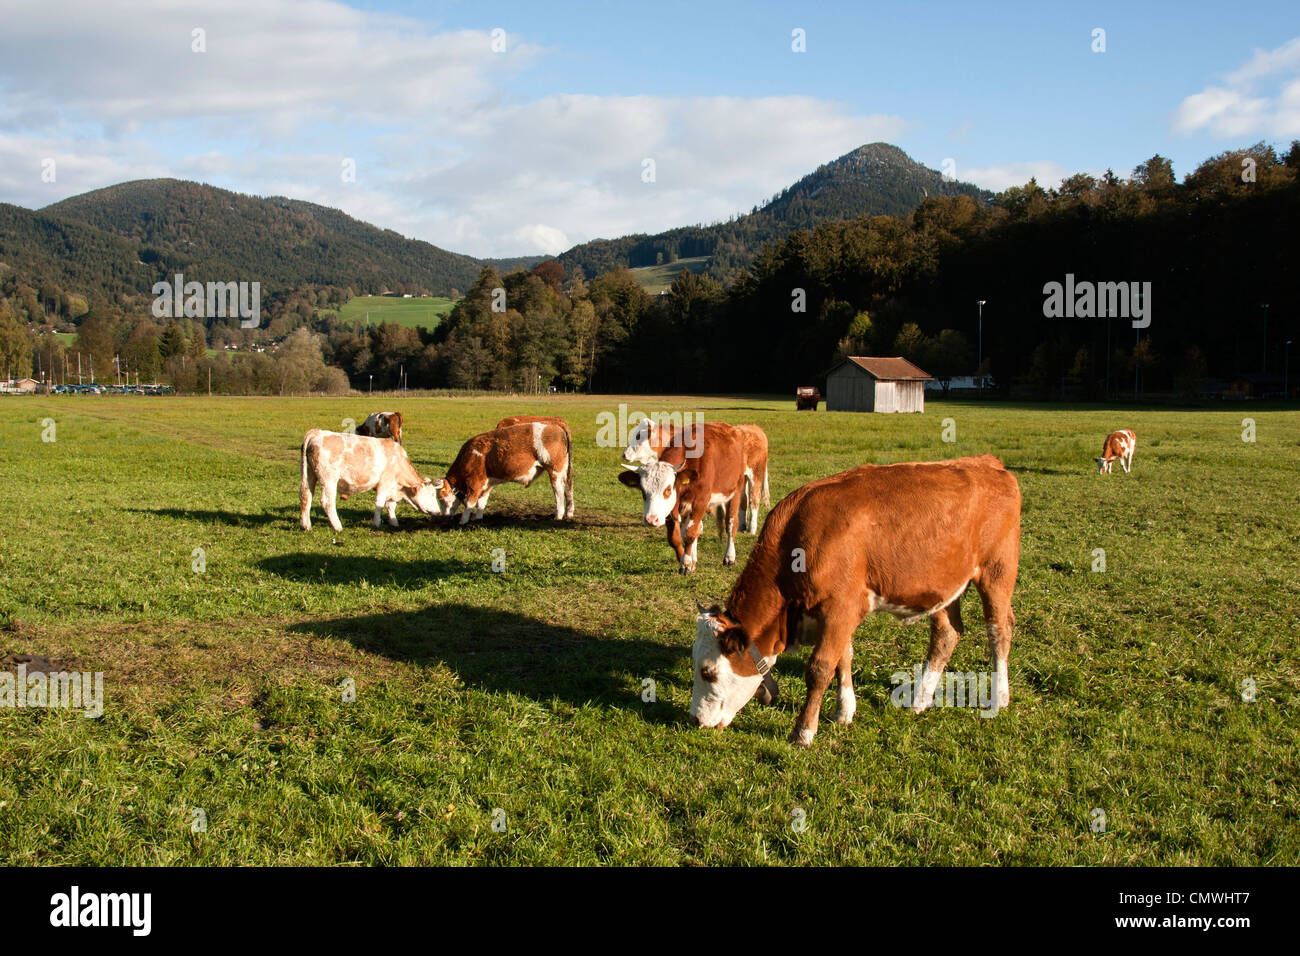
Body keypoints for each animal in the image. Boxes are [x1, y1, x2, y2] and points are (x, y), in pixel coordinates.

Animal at [300, 429, 440, 532]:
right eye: (432, 494)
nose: (438, 512)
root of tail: (317, 433)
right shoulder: (384, 484)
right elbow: (380, 503)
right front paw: (376, 523)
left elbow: (391, 505)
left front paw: (394, 522)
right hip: (329, 480)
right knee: (327, 502)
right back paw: (338, 526)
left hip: (310, 475)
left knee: (306, 497)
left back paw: (306, 526)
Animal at [437, 422, 574, 524]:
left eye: (441, 498)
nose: (444, 517)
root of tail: (556, 426)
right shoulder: (487, 484)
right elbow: (482, 501)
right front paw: (478, 519)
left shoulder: (475, 482)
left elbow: (470, 502)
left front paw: (463, 521)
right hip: (564, 471)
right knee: (568, 489)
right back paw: (568, 513)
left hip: (554, 471)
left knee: (559, 492)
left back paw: (558, 515)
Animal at [618, 421, 748, 574]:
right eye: (643, 490)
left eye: (668, 489)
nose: (651, 520)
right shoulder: (672, 509)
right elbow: (675, 537)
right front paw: (687, 560)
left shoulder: (700, 502)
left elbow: (690, 533)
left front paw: (686, 563)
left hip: (735, 491)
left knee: (731, 524)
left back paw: (729, 556)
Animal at [689, 455, 1021, 746]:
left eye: (707, 671)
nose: (694, 719)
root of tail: (987, 463)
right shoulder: (840, 612)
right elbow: (843, 658)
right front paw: (844, 711)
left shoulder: (840, 608)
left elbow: (820, 668)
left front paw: (804, 732)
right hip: (943, 585)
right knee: (946, 635)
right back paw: (919, 700)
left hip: (997, 570)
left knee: (999, 629)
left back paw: (1000, 696)